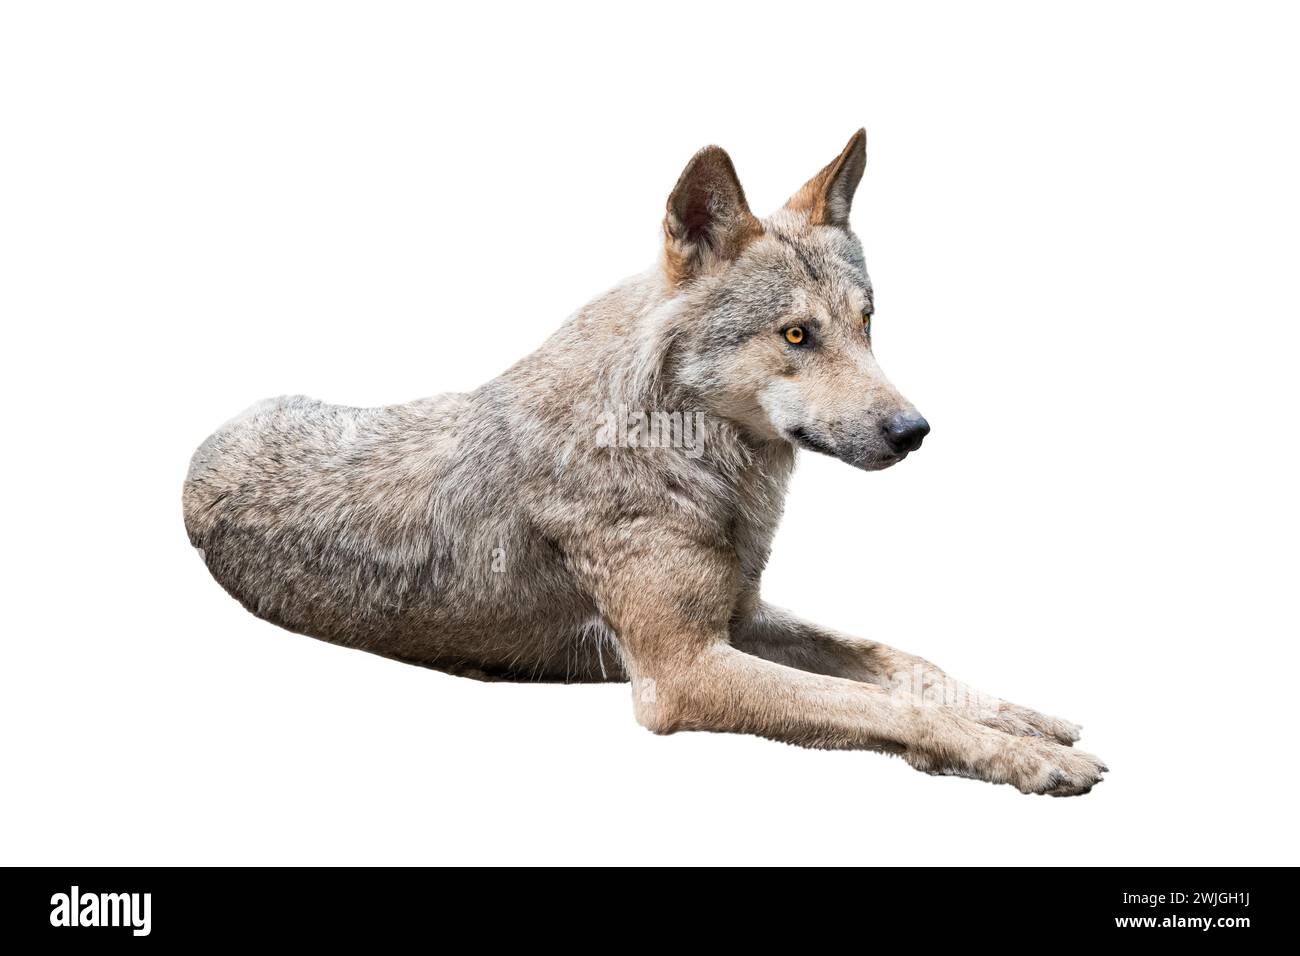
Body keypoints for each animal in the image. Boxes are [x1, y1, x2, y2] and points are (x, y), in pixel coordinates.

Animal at [184, 130, 1107, 795]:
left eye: (868, 322)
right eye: (796, 335)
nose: (914, 430)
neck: (684, 456)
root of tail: (206, 441)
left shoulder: (740, 617)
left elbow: (905, 664)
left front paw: (1023, 719)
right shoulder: (684, 670)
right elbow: (878, 701)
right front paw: (1024, 760)